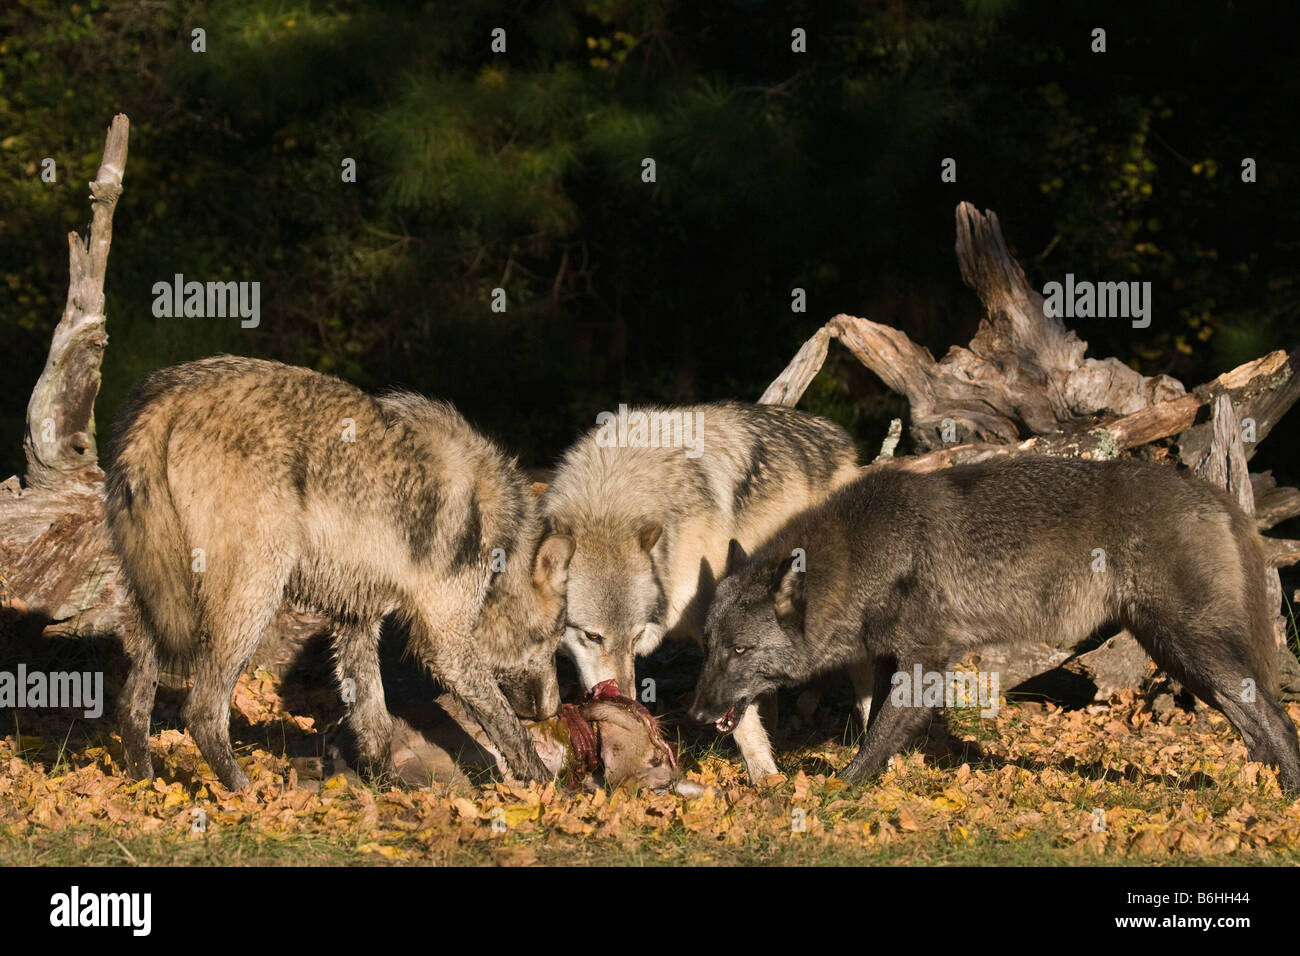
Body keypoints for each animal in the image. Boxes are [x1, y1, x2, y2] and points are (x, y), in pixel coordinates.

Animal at [105, 356, 573, 790]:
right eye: (550, 640)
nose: (553, 709)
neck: (496, 531)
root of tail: (170, 395)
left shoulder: (356, 621)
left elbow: (374, 720)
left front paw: (388, 788)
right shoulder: (446, 645)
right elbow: (507, 726)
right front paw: (547, 788)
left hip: (162, 609)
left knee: (131, 705)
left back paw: (144, 784)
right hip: (252, 600)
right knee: (201, 711)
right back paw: (245, 794)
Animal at [542, 400, 861, 780]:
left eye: (635, 637)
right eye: (593, 637)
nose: (627, 699)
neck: (608, 501)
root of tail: (840, 437)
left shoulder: (721, 635)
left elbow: (738, 718)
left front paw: (765, 777)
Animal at [691, 455, 1300, 792]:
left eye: (741, 651)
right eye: (712, 647)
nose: (695, 713)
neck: (871, 553)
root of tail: (1212, 493)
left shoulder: (926, 658)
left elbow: (882, 729)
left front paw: (843, 790)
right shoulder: (897, 658)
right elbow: (876, 721)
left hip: (1190, 648)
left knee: (1275, 717)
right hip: (1178, 654)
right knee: (1254, 723)